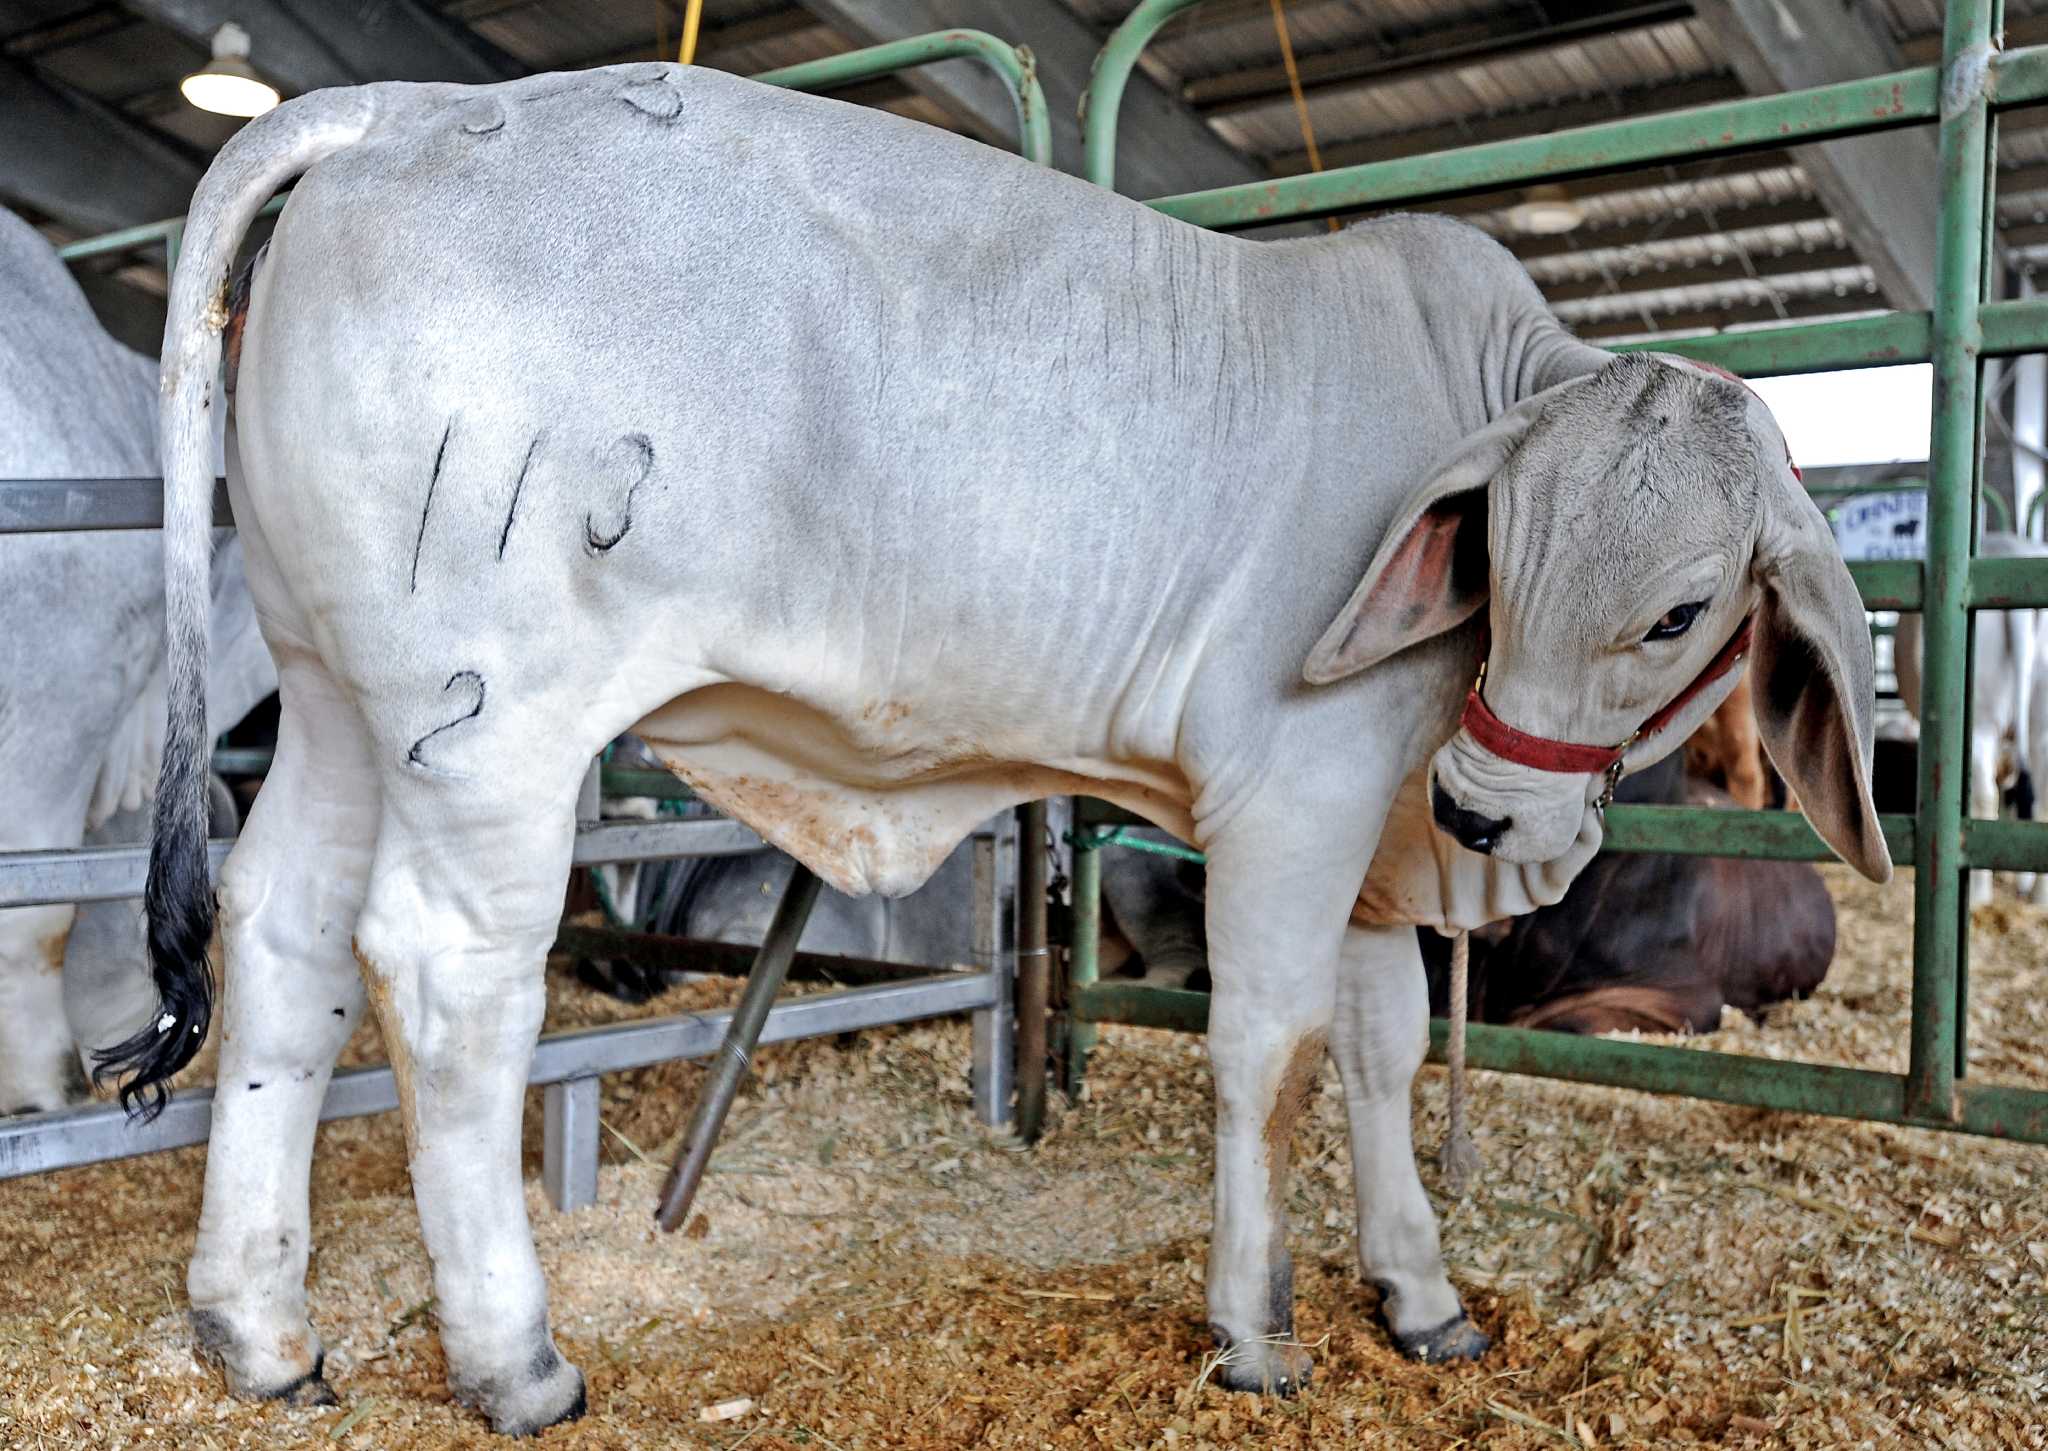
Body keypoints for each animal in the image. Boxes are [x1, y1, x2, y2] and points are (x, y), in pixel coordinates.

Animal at [116, 69, 1887, 1432]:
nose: (1490, 805)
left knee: (282, 933)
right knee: (445, 970)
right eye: (1505, 559)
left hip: (336, 696)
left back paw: (257, 1327)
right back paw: (514, 1356)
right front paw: (1258, 1325)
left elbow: (1381, 1050)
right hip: (491, 724)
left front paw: (1423, 1291)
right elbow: (1273, 1049)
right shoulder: (1299, 793)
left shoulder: (1381, 834)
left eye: (1679, 608)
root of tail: (405, 111)